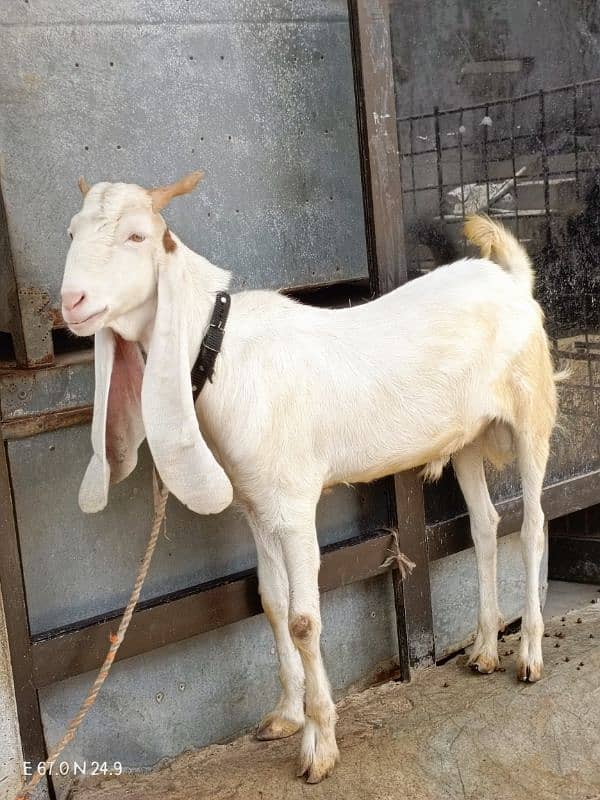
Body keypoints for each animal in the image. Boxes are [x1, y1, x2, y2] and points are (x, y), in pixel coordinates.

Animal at [61, 172, 558, 783]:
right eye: (72, 232)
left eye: (137, 236)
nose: (72, 302)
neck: (220, 348)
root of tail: (511, 278)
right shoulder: (256, 502)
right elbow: (272, 601)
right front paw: (285, 715)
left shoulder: (294, 504)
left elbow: (302, 619)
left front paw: (319, 746)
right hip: (465, 436)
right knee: (485, 525)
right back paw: (486, 649)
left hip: (531, 413)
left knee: (532, 524)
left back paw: (529, 656)